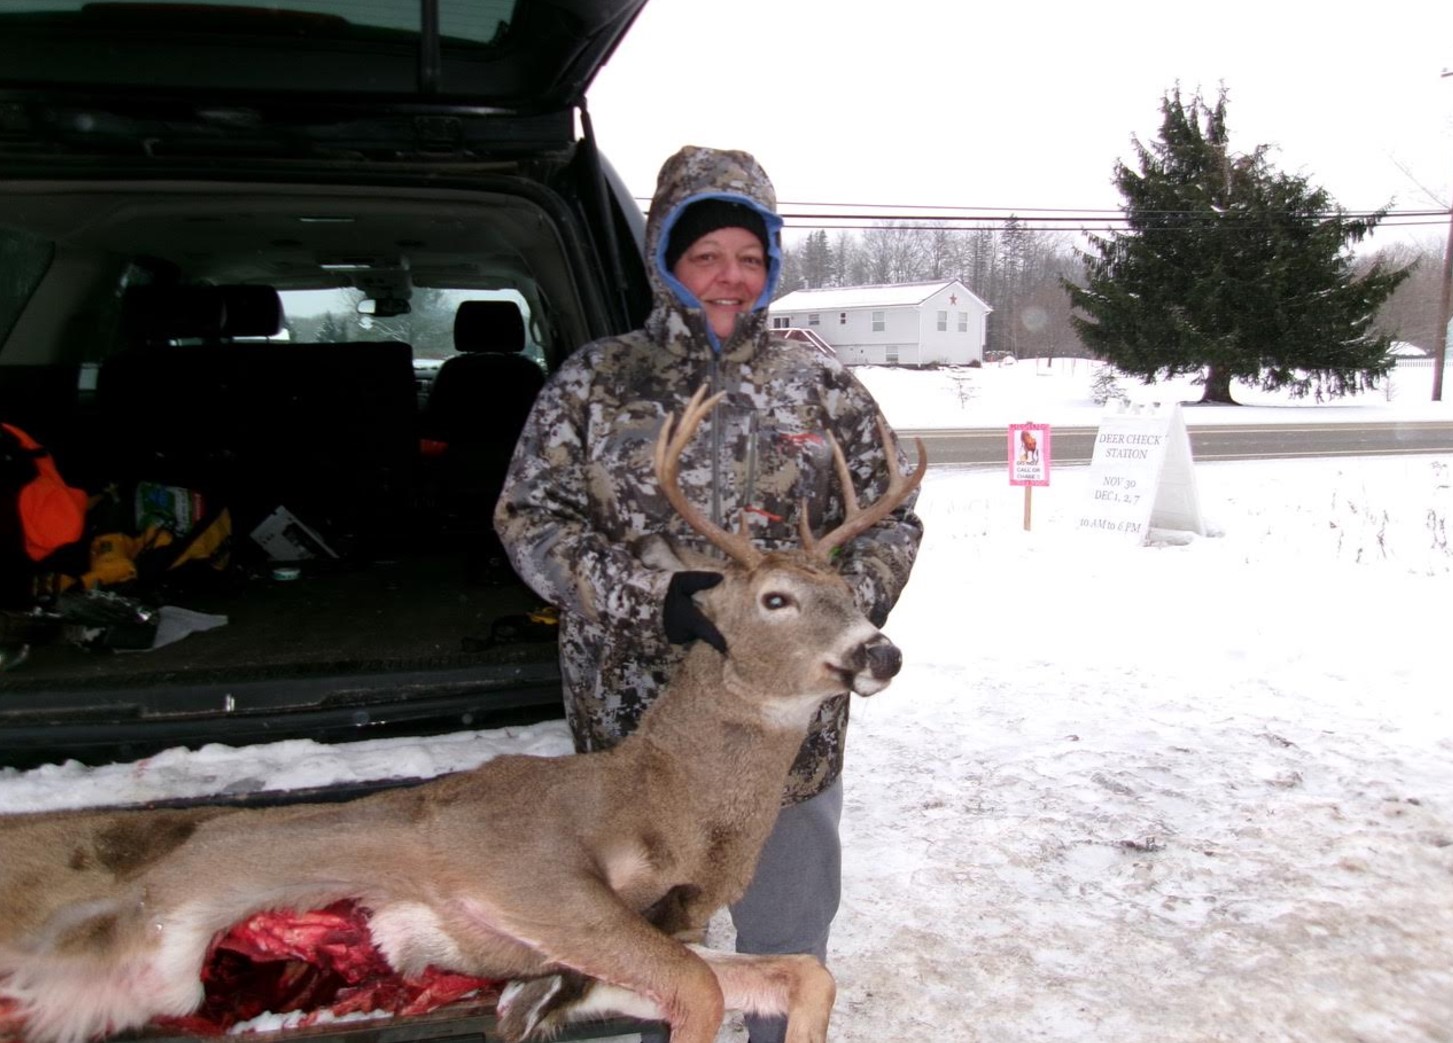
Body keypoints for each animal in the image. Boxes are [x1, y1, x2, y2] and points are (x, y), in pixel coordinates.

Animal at [0, 386, 925, 1043]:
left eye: (852, 590)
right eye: (775, 598)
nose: (881, 652)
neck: (659, 806)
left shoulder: (574, 959)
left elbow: (803, 974)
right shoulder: (531, 875)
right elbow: (698, 993)